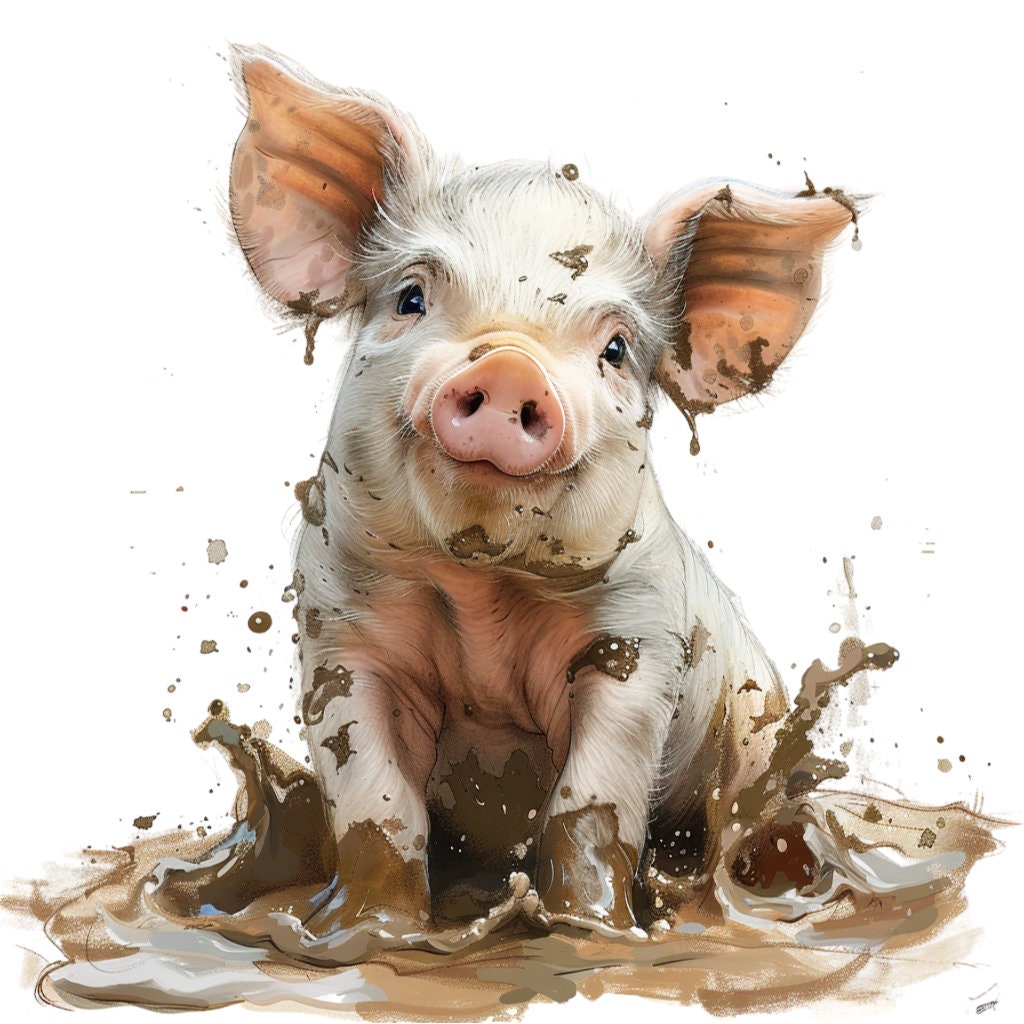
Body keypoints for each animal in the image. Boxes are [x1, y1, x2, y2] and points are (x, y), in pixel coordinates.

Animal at [228, 48, 855, 943]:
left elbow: (588, 807)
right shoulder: (339, 634)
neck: (480, 595)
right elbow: (378, 808)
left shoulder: (637, 641)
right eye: (411, 297)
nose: (508, 366)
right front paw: (362, 936)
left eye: (617, 350)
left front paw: (592, 933)